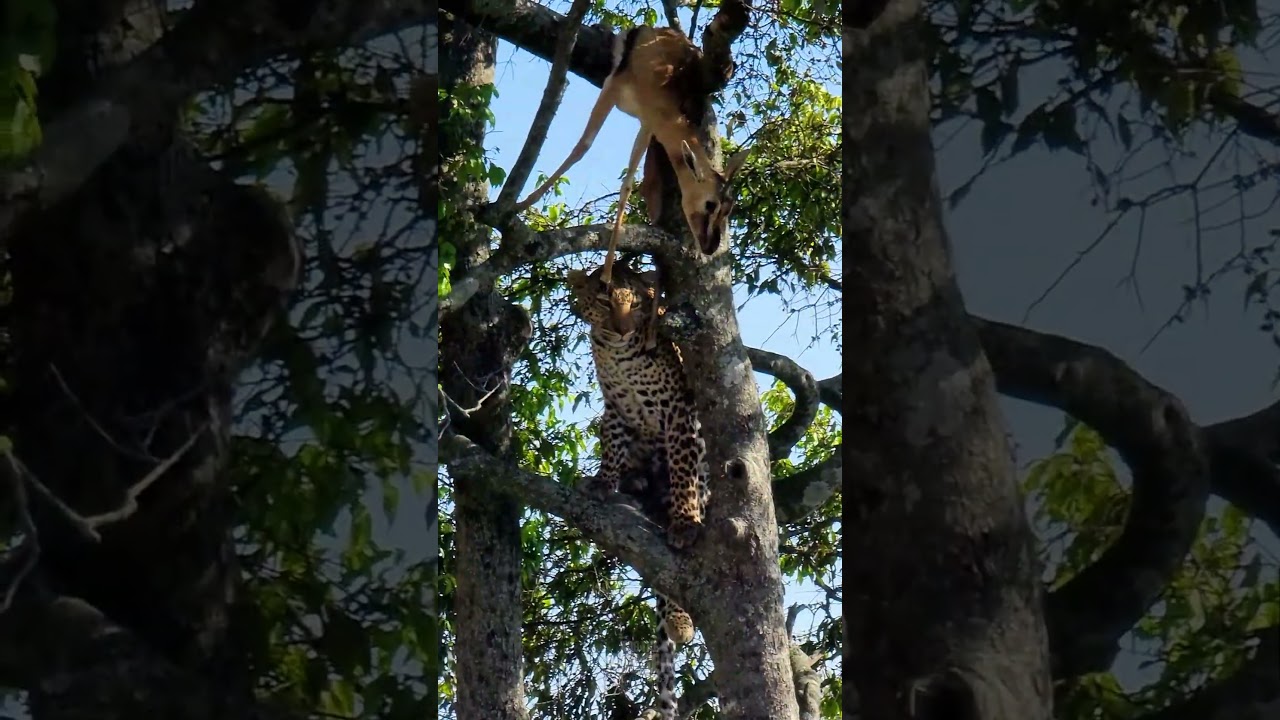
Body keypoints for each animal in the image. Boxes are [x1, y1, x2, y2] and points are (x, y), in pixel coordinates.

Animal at [565, 262, 711, 720]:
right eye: (604, 299)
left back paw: (681, 621)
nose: (623, 328)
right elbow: (611, 444)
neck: (618, 354)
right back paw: (633, 485)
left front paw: (684, 523)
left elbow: (682, 471)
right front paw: (602, 481)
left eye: (639, 303)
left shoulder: (680, 410)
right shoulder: (615, 408)